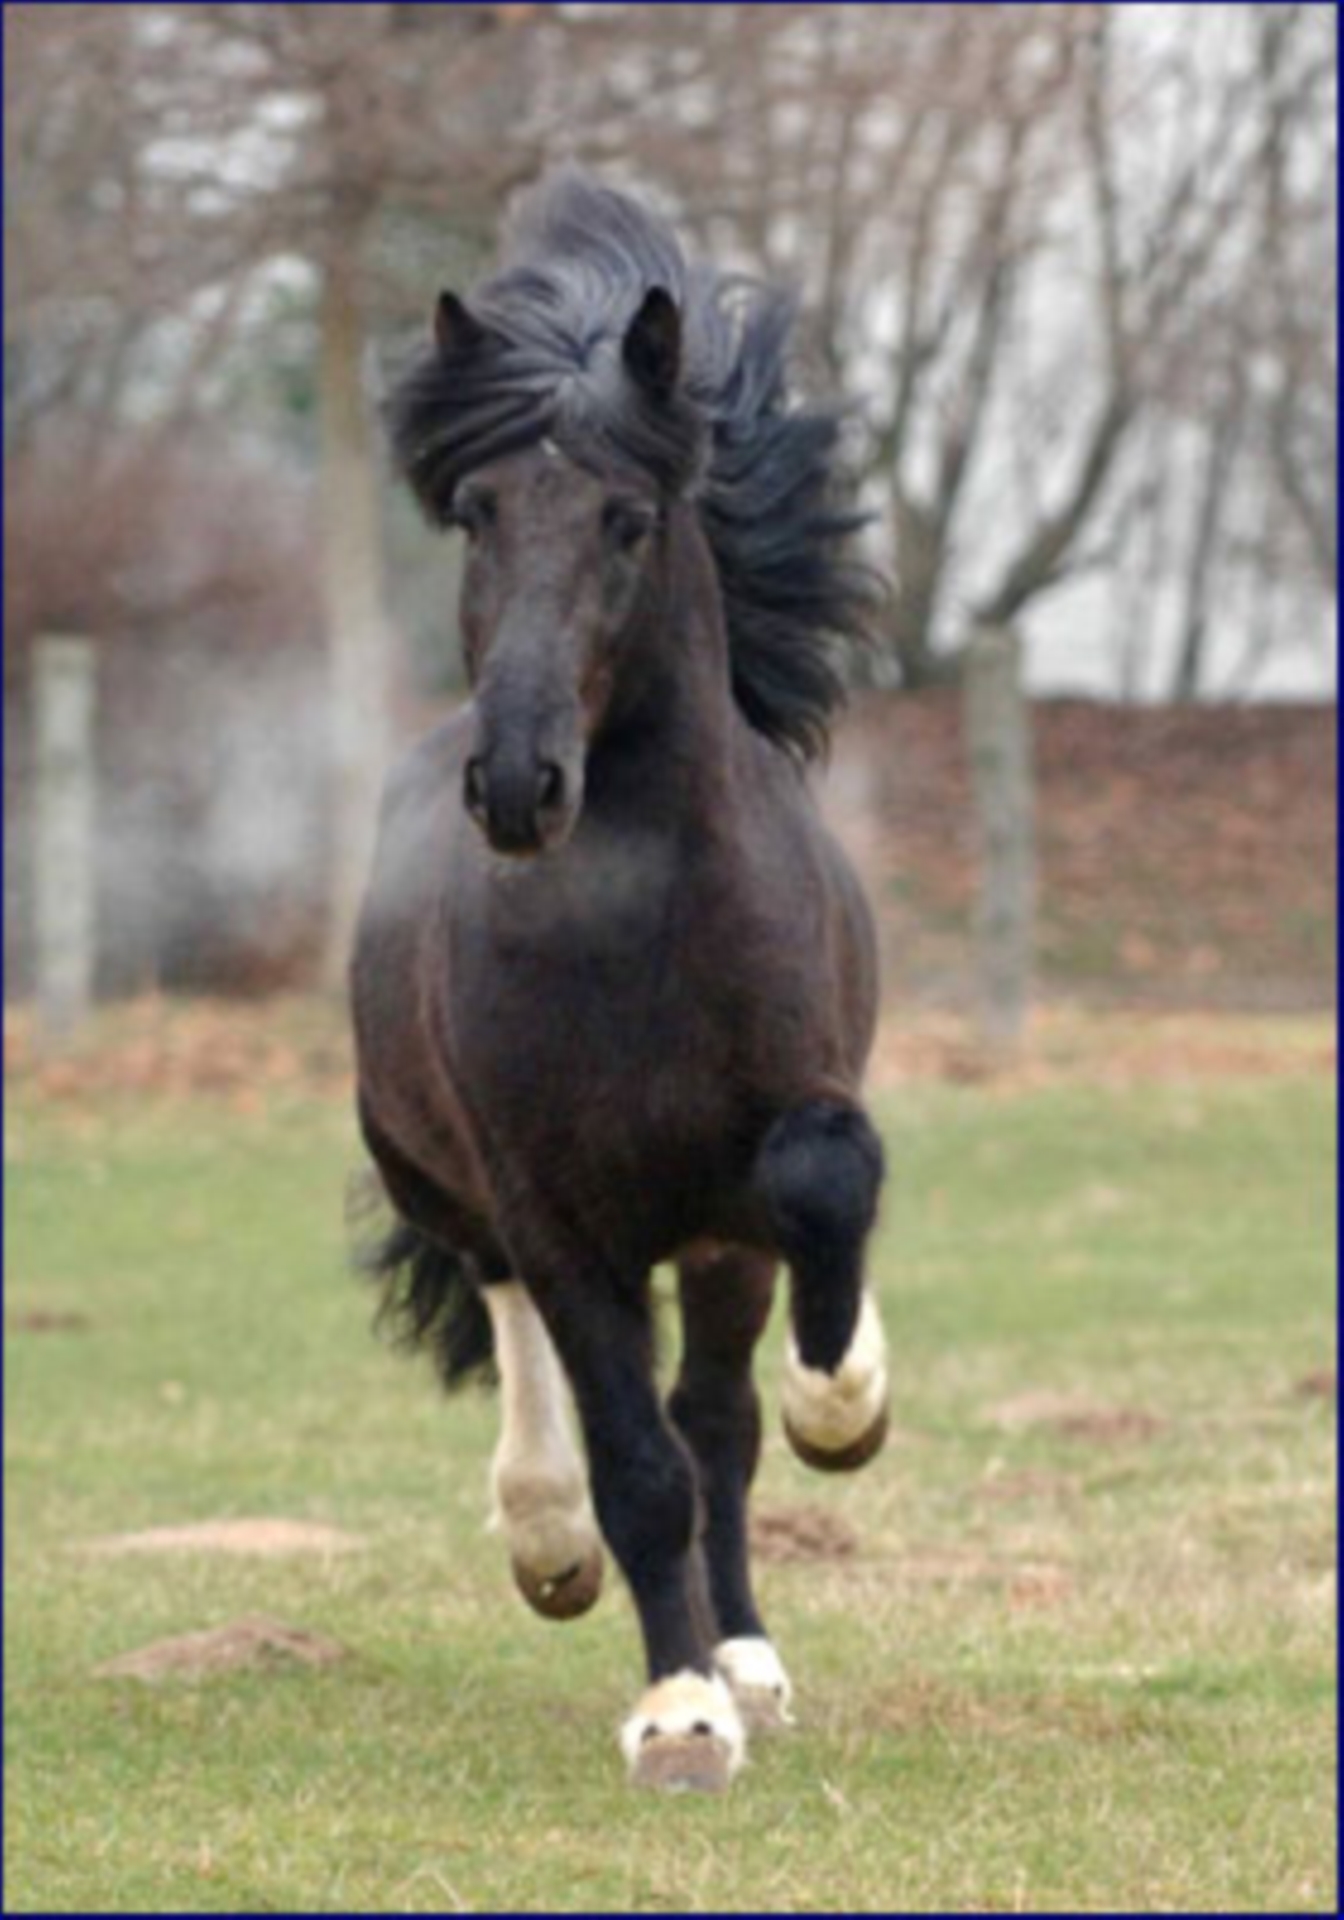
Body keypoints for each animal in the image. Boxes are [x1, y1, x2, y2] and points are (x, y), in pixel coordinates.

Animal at [352, 169, 889, 1794]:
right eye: (476, 512)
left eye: (628, 519)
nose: (523, 781)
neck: (641, 928)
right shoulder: (561, 1213)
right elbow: (634, 1464)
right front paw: (678, 1711)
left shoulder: (775, 1141)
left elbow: (824, 1194)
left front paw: (844, 1402)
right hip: (448, 1183)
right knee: (538, 1351)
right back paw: (555, 1549)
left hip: (711, 1239)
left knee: (723, 1414)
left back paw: (753, 1640)